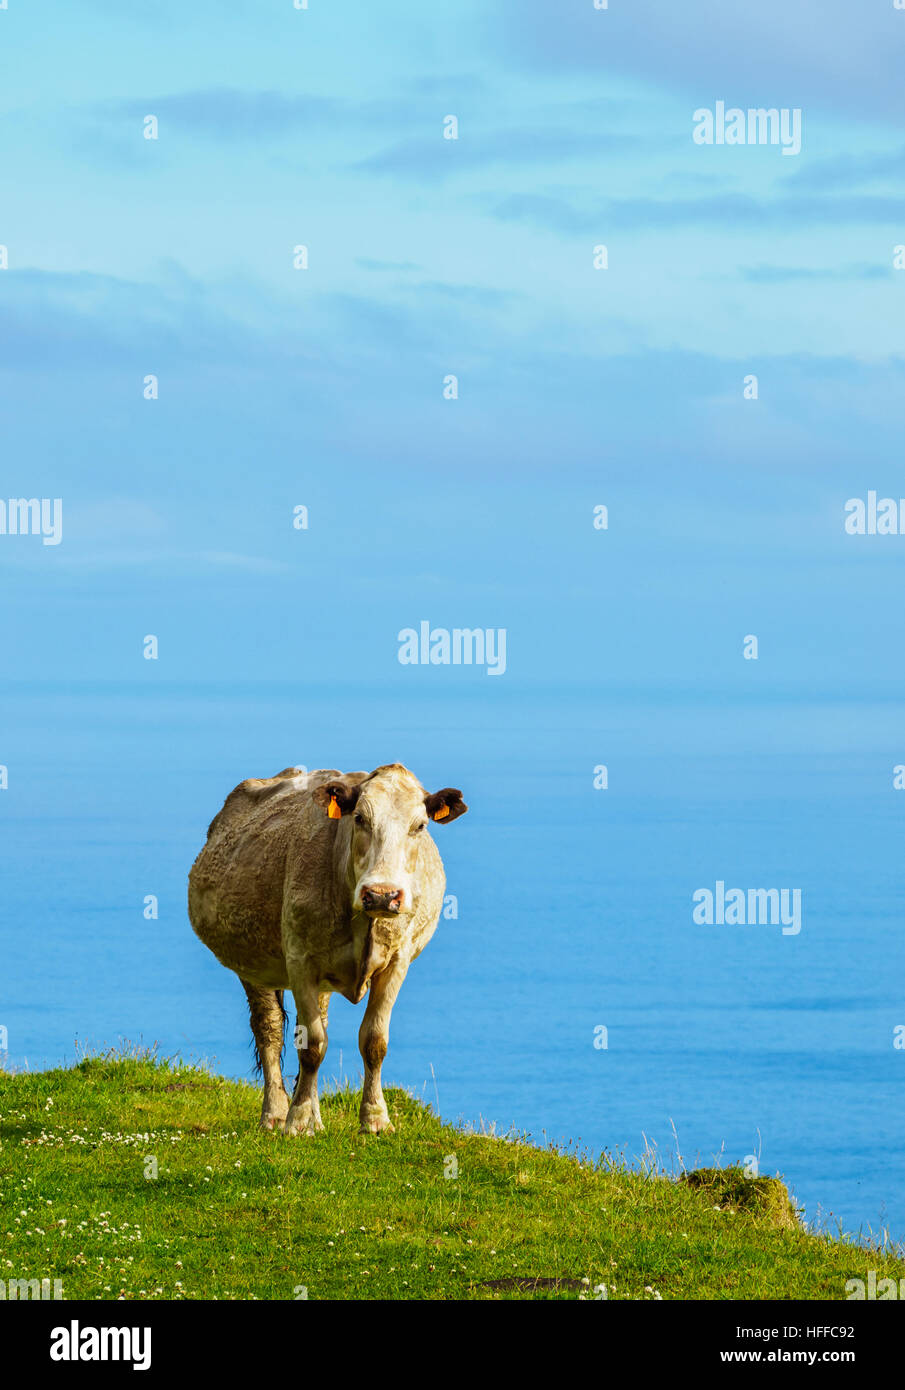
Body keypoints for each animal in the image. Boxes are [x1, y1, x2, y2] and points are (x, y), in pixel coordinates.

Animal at [188, 763, 467, 1136]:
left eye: (420, 825)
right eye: (360, 818)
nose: (382, 894)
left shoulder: (397, 962)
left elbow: (374, 1041)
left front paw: (375, 1120)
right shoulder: (300, 960)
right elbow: (312, 1046)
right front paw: (297, 1120)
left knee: (315, 1022)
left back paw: (316, 1119)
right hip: (252, 963)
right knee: (269, 1030)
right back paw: (275, 1114)